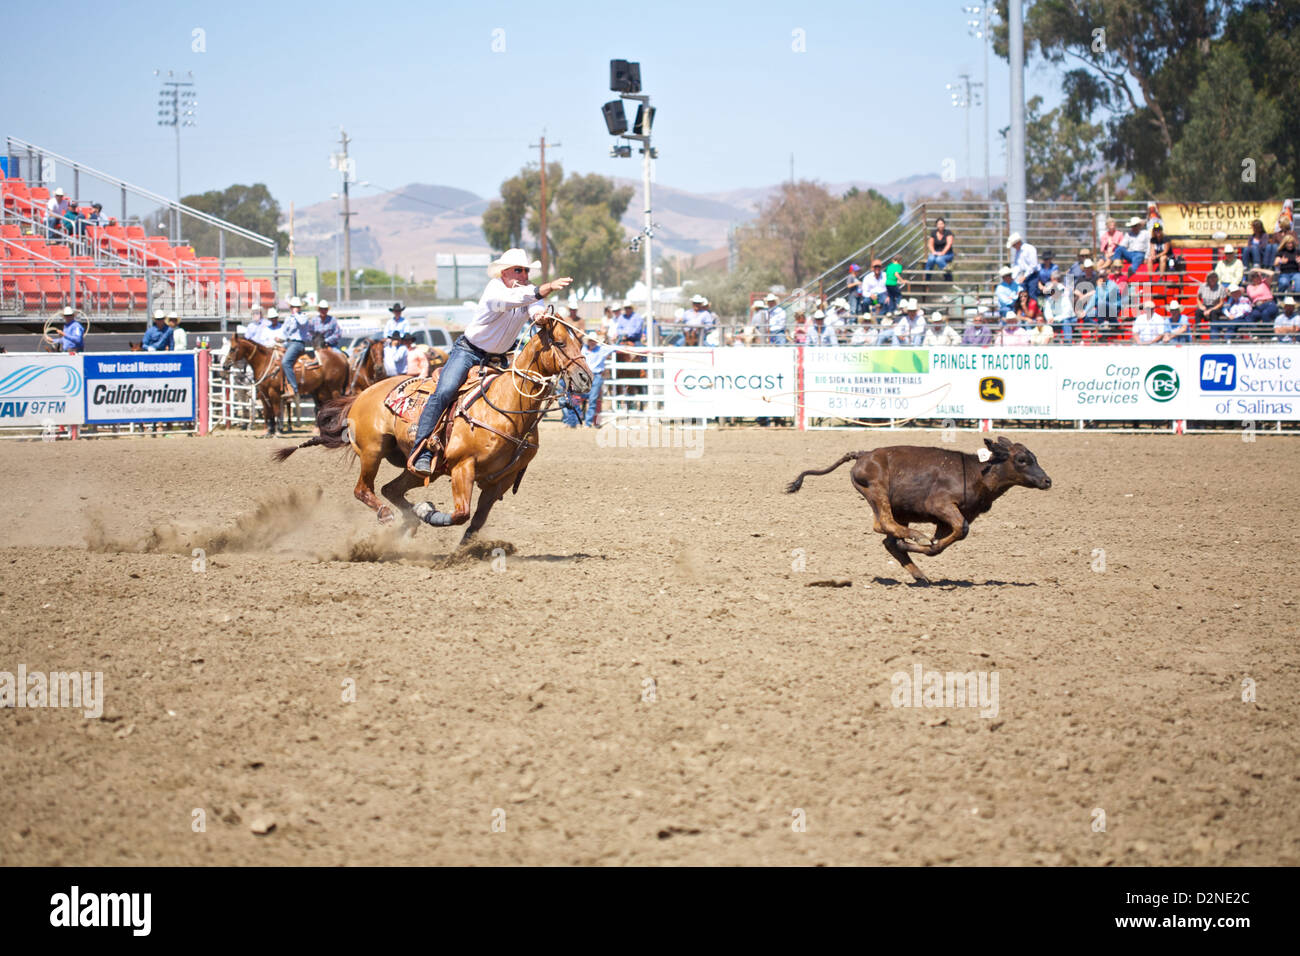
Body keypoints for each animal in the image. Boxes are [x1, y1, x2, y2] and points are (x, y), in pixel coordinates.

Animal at [785, 436, 1052, 584]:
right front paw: (921, 542)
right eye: (1022, 460)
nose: (1047, 481)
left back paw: (918, 572)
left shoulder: (945, 520)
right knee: (882, 524)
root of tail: (863, 455)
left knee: (889, 541)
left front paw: (923, 547)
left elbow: (943, 542)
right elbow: (960, 530)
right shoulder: (942, 506)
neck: (978, 474)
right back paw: (916, 537)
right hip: (877, 493)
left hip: (898, 508)